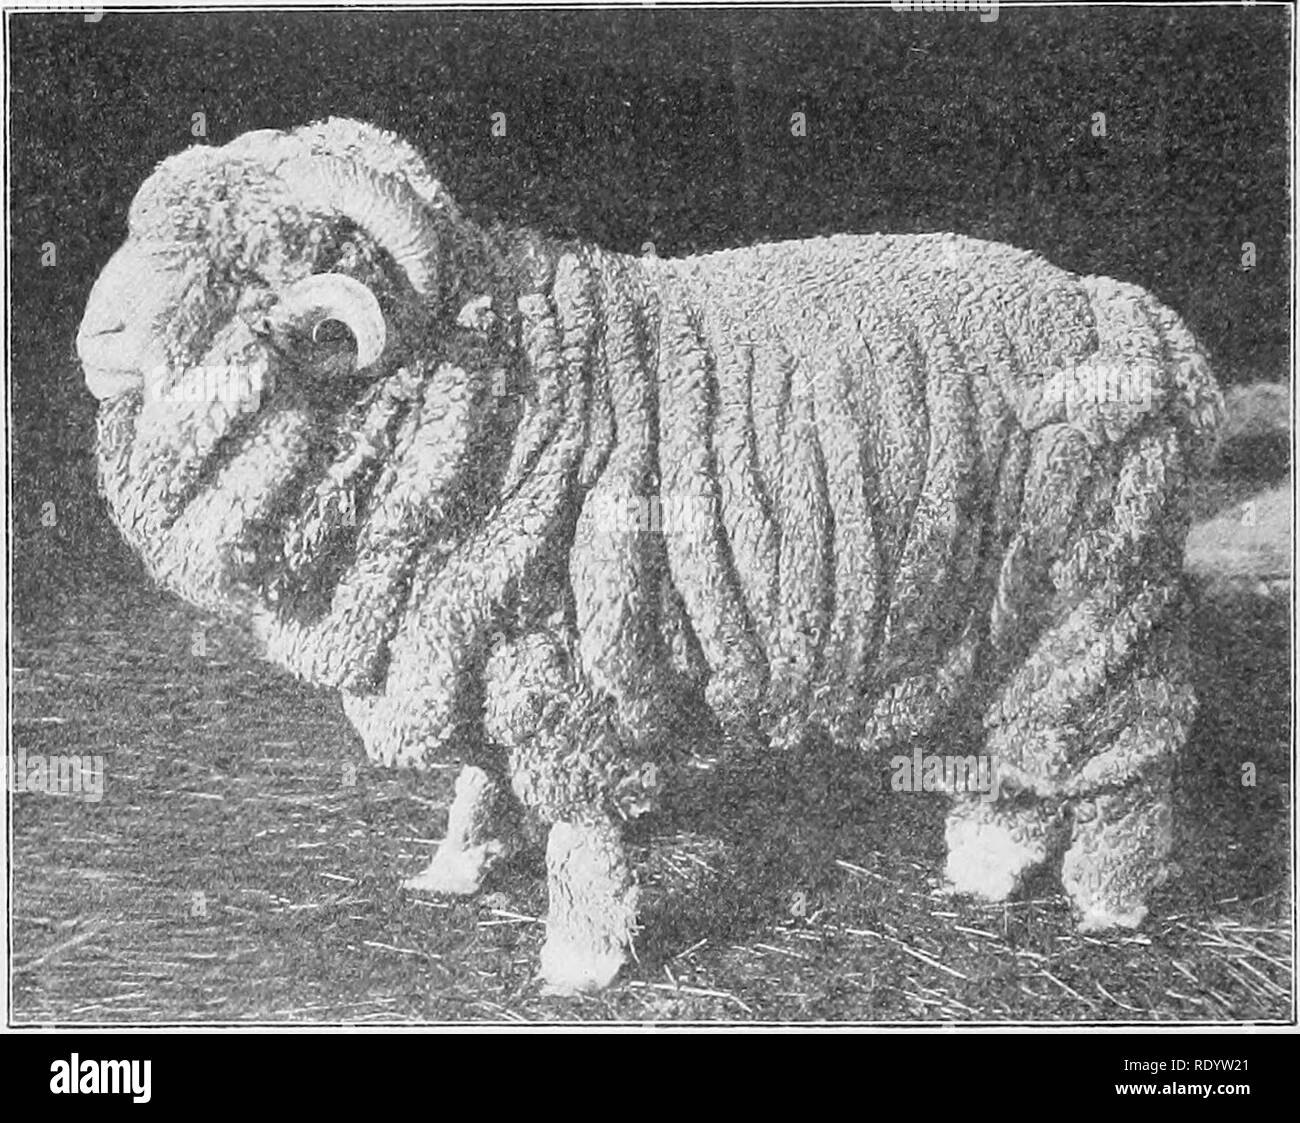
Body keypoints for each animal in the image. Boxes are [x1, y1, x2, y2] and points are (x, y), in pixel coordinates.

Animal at [78, 117, 1224, 994]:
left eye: (256, 263)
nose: (96, 335)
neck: (497, 380)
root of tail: (1131, 316)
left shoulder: (565, 654)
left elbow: (580, 822)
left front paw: (581, 959)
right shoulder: (475, 624)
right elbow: (482, 774)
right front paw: (454, 869)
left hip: (1096, 583)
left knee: (1127, 749)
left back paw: (1110, 900)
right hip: (1011, 605)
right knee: (1026, 738)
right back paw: (989, 862)